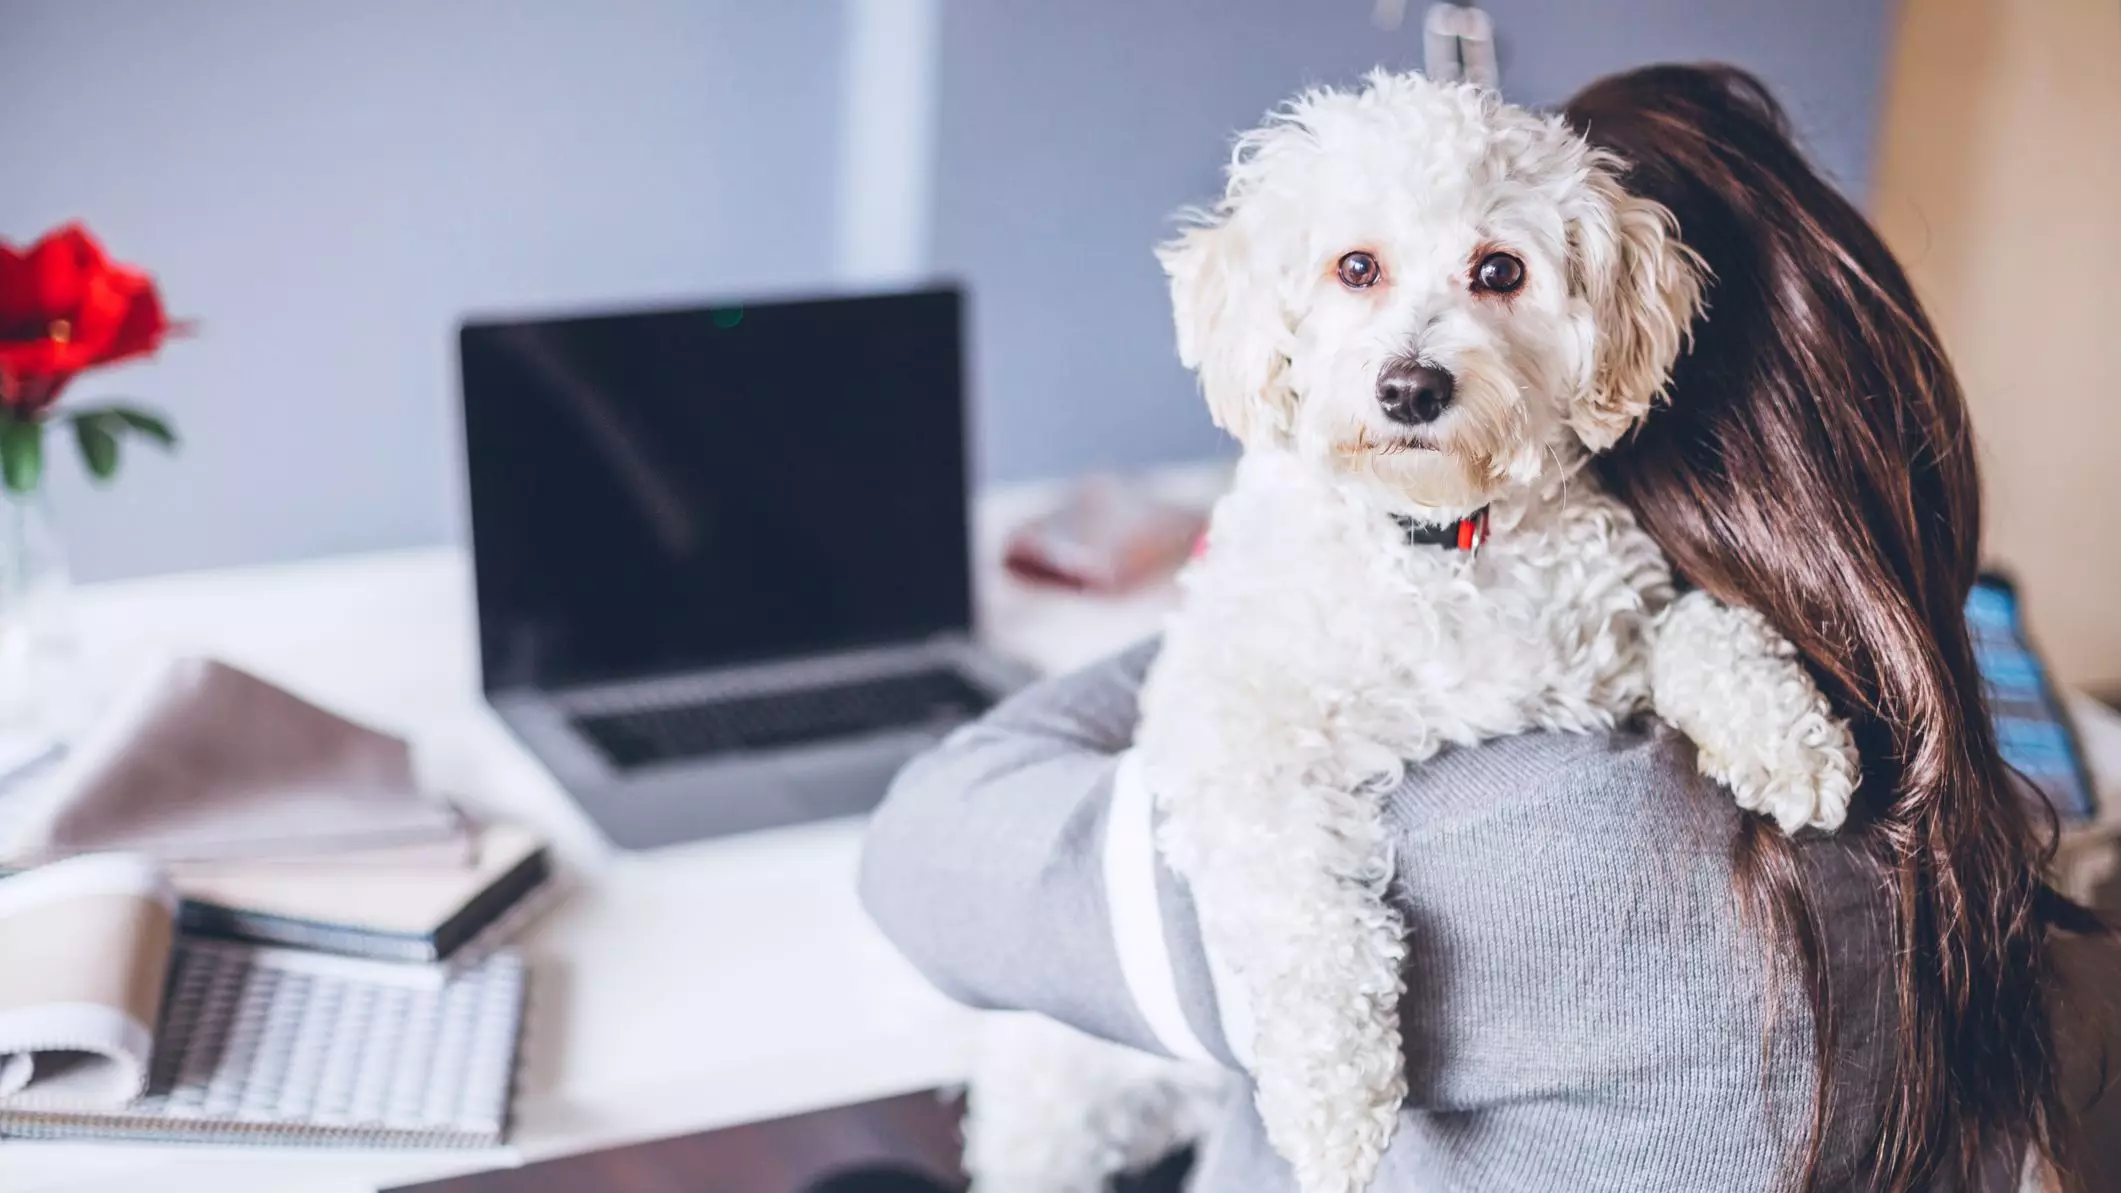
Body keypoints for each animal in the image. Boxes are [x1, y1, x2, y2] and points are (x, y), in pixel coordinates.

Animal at [962, 72, 1857, 1188]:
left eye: (1499, 270)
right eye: (1356, 266)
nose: (1412, 385)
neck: (1431, 541)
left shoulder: (1608, 639)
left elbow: (1709, 626)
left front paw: (1788, 739)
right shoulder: (1235, 739)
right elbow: (1302, 906)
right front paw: (1333, 1094)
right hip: (1056, 1104)